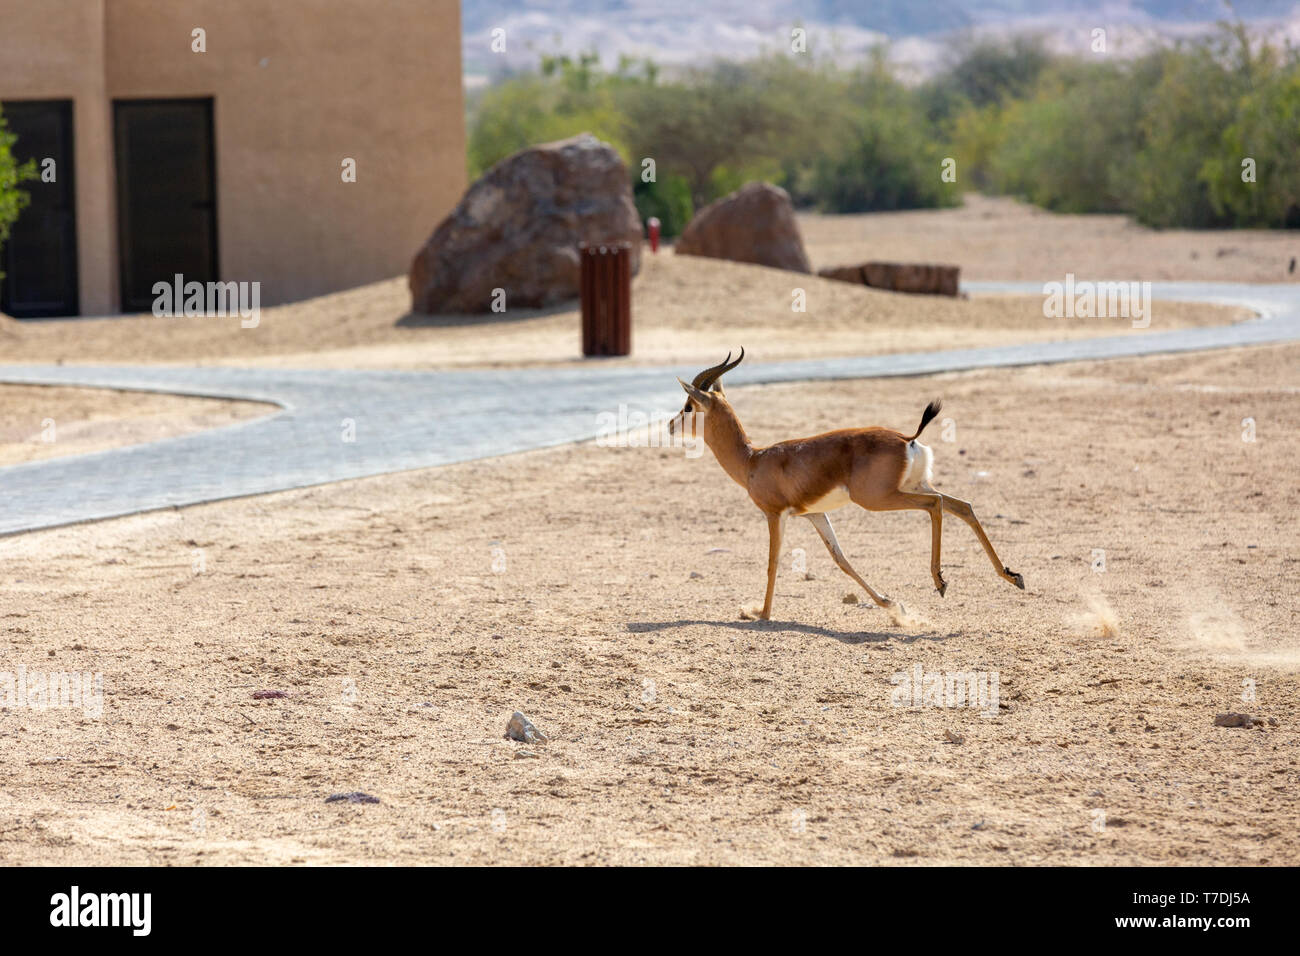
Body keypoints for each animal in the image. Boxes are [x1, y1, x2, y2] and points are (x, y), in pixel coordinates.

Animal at [668, 350, 1025, 621]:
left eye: (688, 406)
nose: (670, 425)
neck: (752, 460)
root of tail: (906, 439)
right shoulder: (814, 515)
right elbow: (842, 559)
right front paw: (890, 603)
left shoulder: (774, 514)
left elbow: (773, 562)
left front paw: (763, 614)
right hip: (915, 485)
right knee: (962, 506)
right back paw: (1012, 575)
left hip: (880, 498)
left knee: (935, 505)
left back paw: (940, 581)